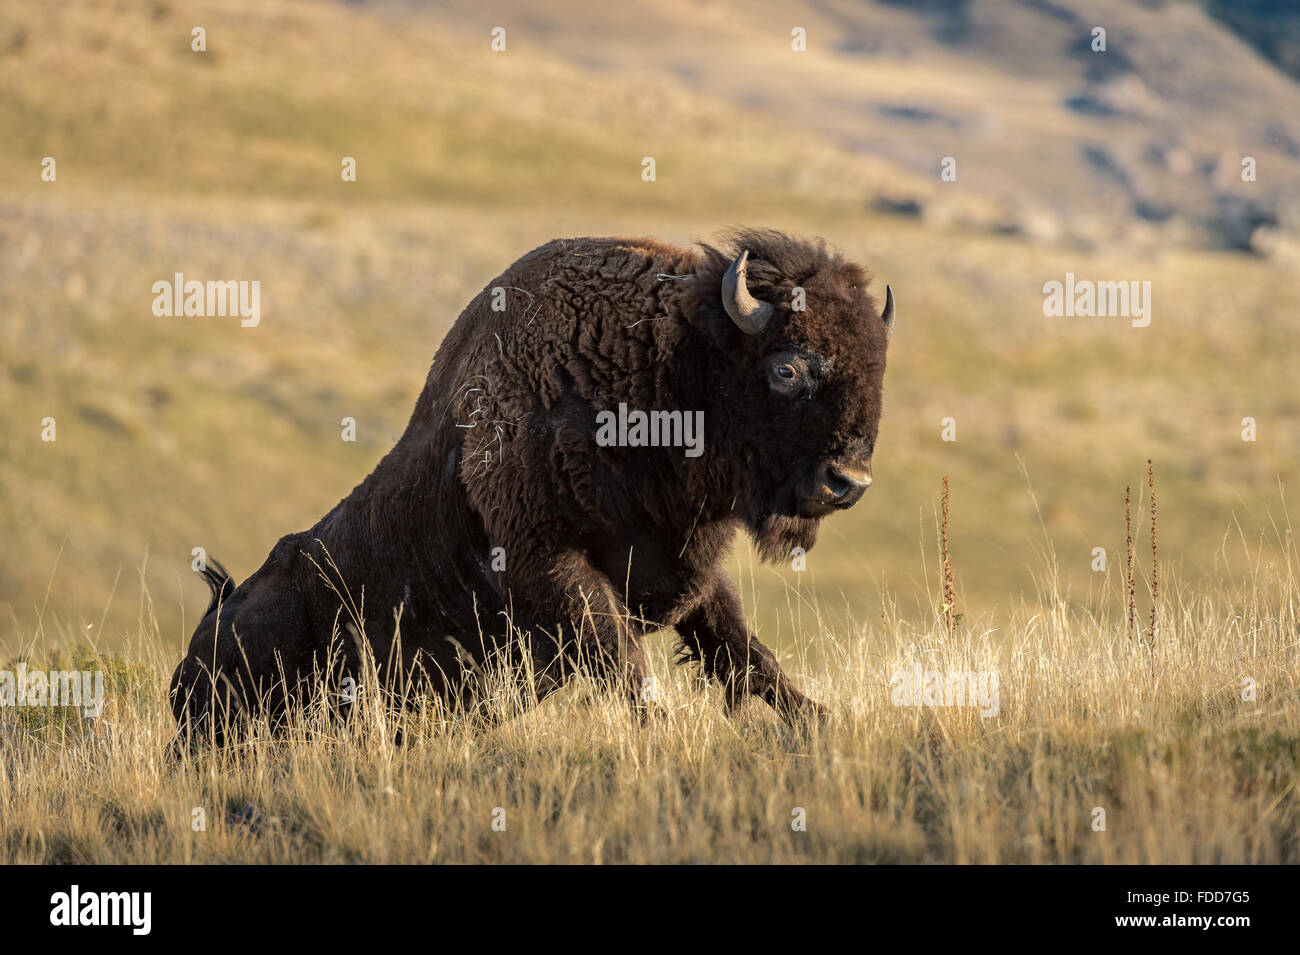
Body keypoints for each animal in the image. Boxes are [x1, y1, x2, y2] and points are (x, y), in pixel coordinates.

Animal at [169, 229, 895, 746]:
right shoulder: (551, 565)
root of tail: (202, 640)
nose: (848, 482)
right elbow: (627, 662)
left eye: (878, 366)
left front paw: (822, 718)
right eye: (787, 368)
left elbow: (744, 650)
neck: (663, 372)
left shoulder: (685, 571)